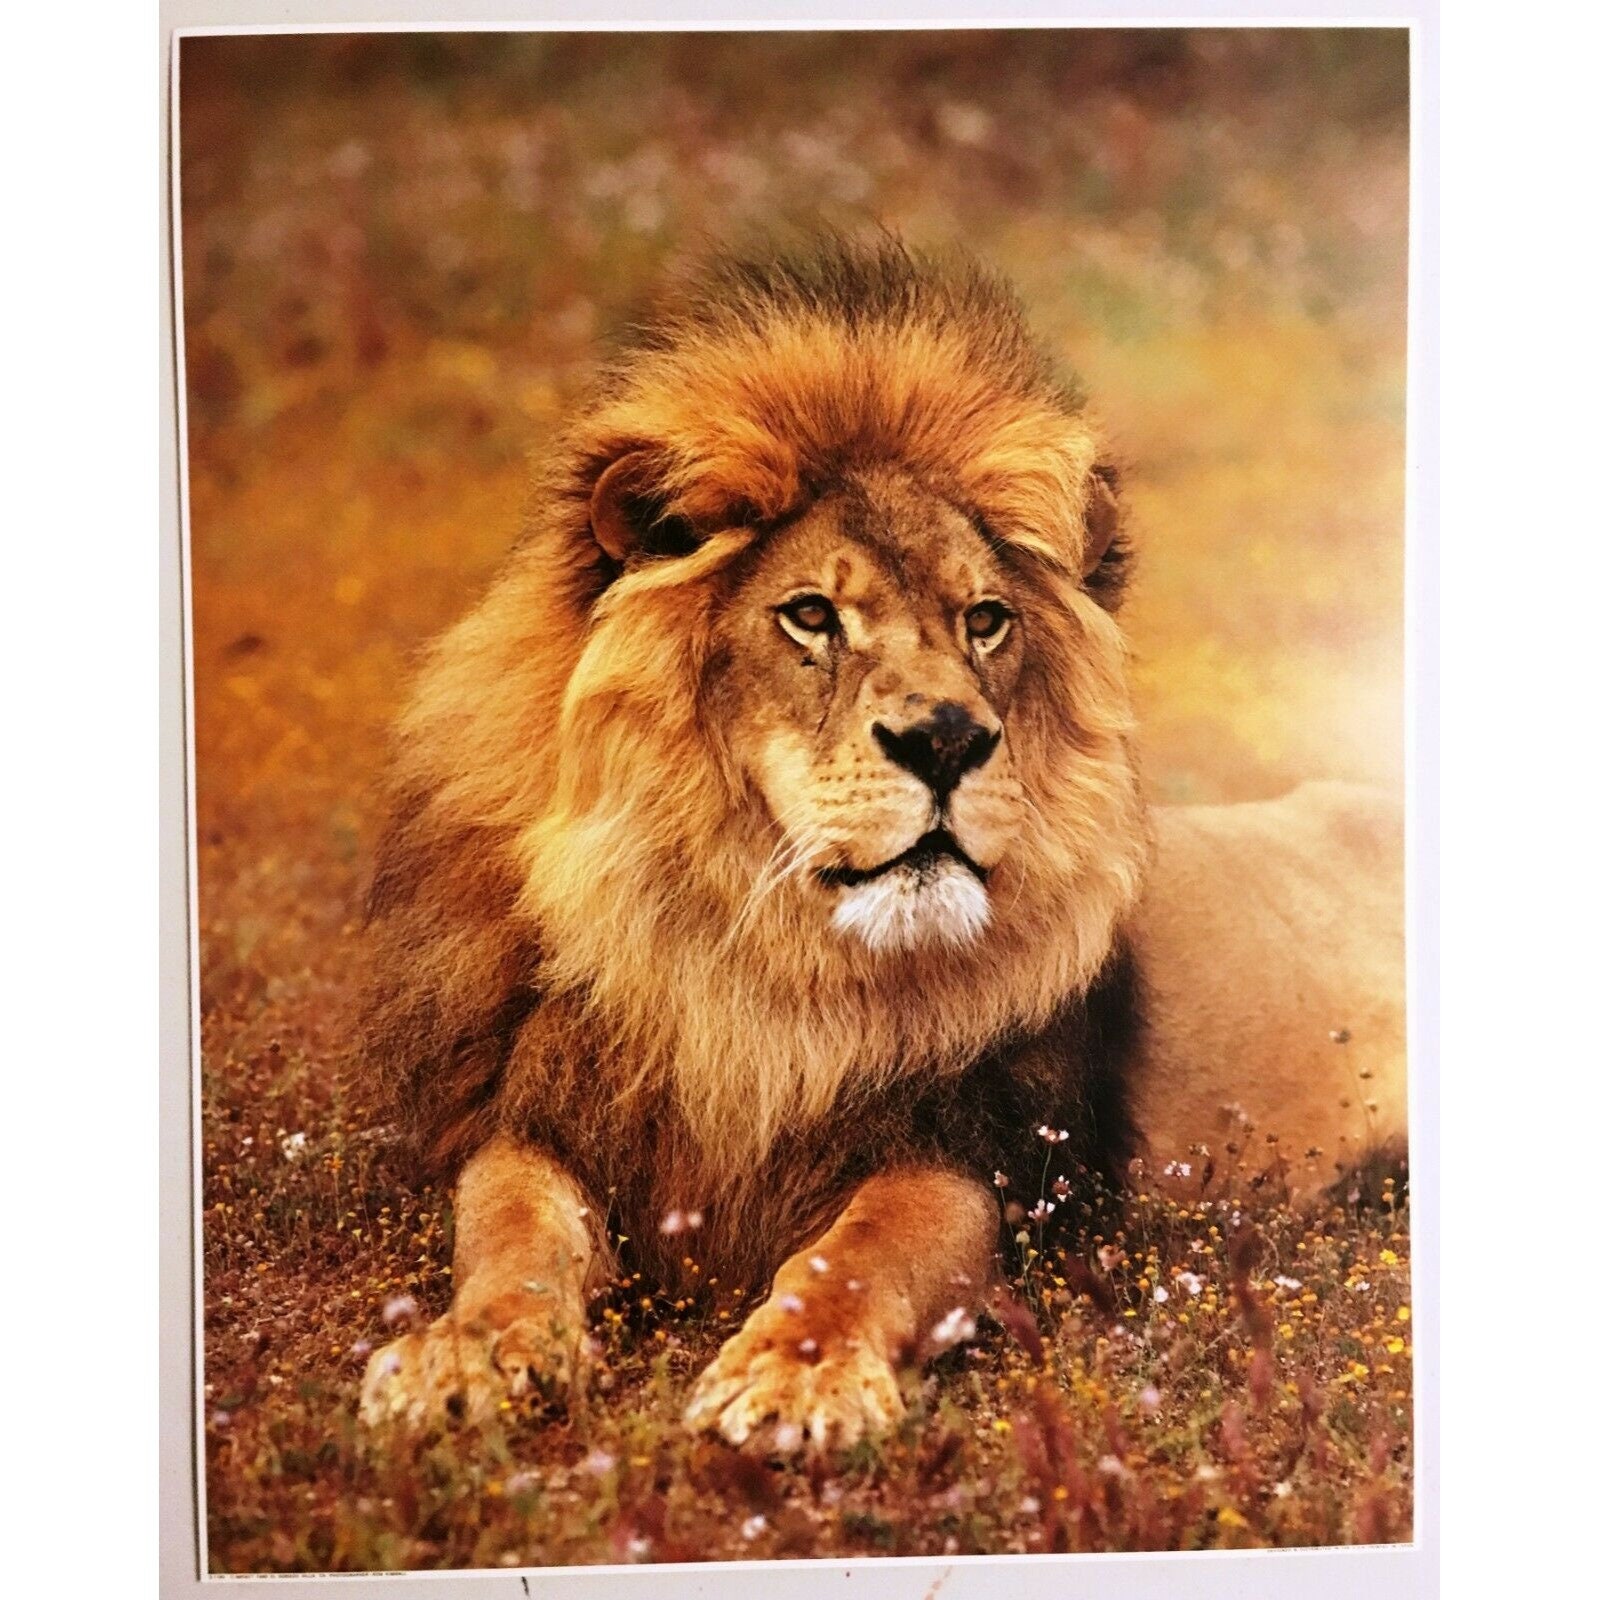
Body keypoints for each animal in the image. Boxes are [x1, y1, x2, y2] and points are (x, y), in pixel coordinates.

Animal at [356, 237, 1406, 1452]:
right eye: (810, 614)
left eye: (985, 620)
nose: (946, 738)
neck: (750, 956)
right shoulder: (539, 1115)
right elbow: (508, 1229)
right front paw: (467, 1354)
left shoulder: (979, 1153)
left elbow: (864, 1248)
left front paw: (794, 1376)